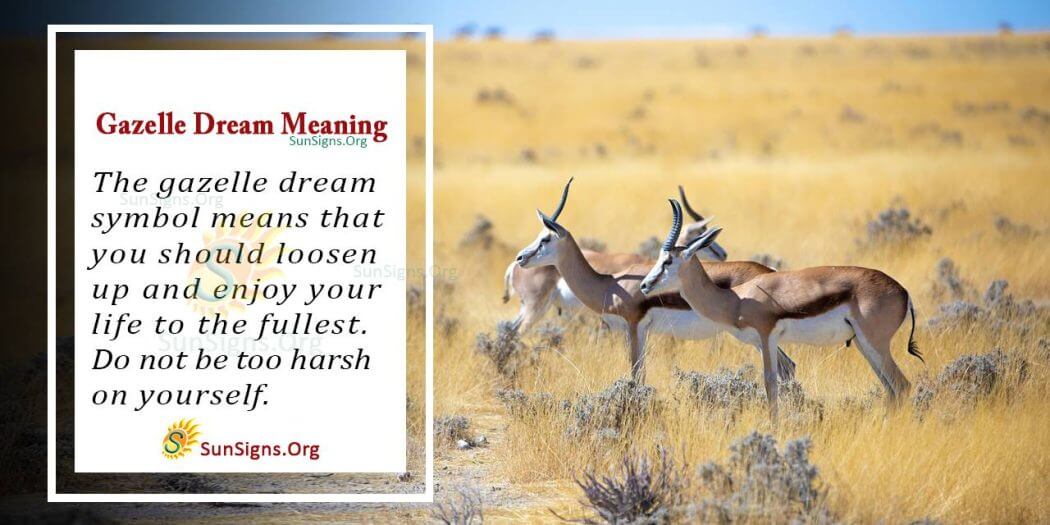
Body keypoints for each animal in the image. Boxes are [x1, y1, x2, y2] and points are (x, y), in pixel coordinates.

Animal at [640, 200, 923, 420]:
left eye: (668, 260)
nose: (644, 285)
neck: (736, 299)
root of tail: (904, 292)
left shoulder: (767, 337)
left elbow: (770, 382)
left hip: (875, 344)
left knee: (902, 385)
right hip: (865, 345)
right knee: (891, 388)